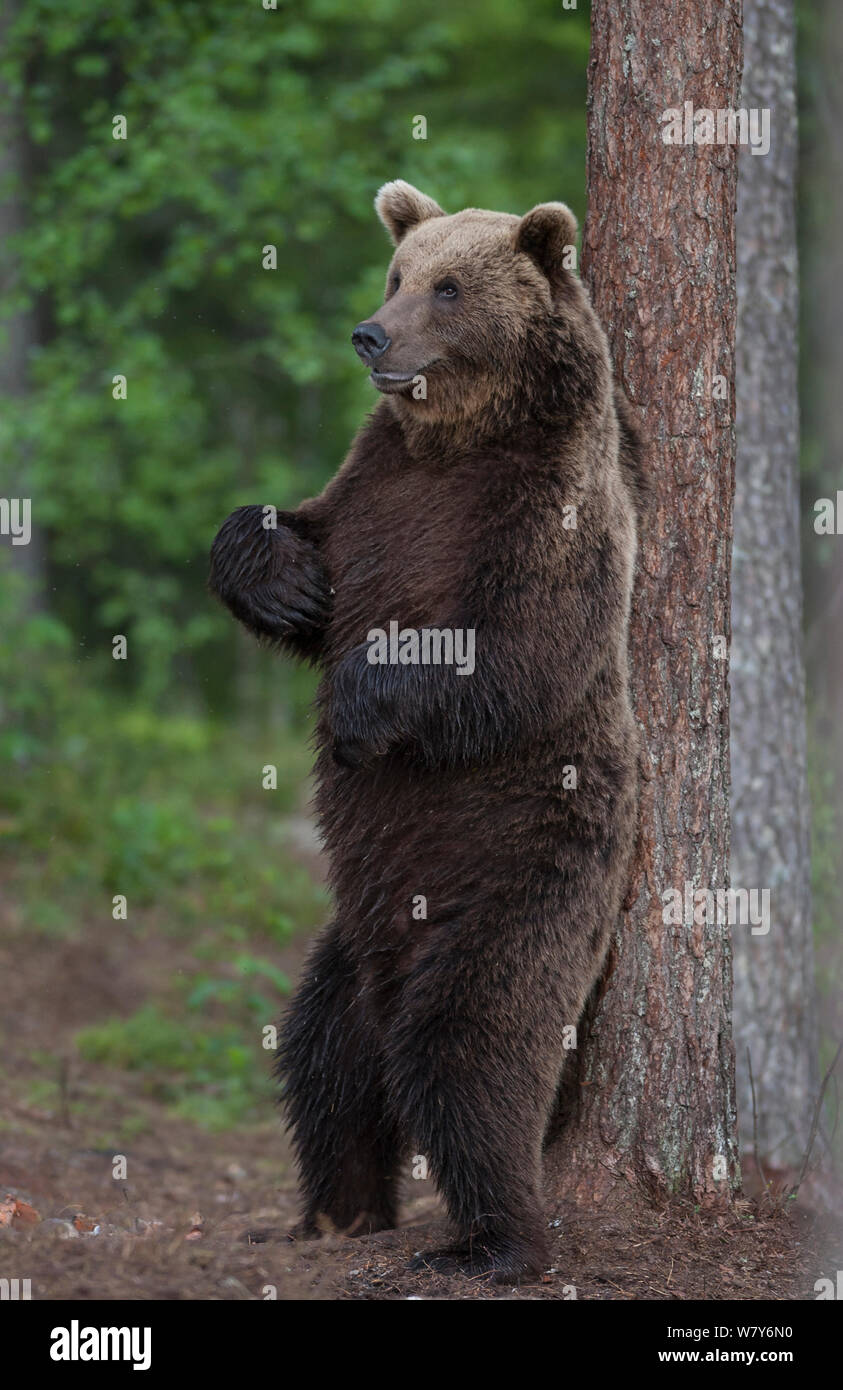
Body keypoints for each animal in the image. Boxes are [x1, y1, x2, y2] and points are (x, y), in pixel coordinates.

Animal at [208, 180, 646, 1283]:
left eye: (449, 288)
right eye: (397, 273)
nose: (370, 334)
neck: (461, 437)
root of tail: (391, 967)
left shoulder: (548, 519)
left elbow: (513, 653)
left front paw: (356, 706)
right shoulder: (374, 490)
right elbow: (294, 538)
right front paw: (282, 581)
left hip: (519, 885)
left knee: (469, 1050)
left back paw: (491, 1242)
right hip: (346, 946)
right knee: (322, 1058)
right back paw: (334, 1211)